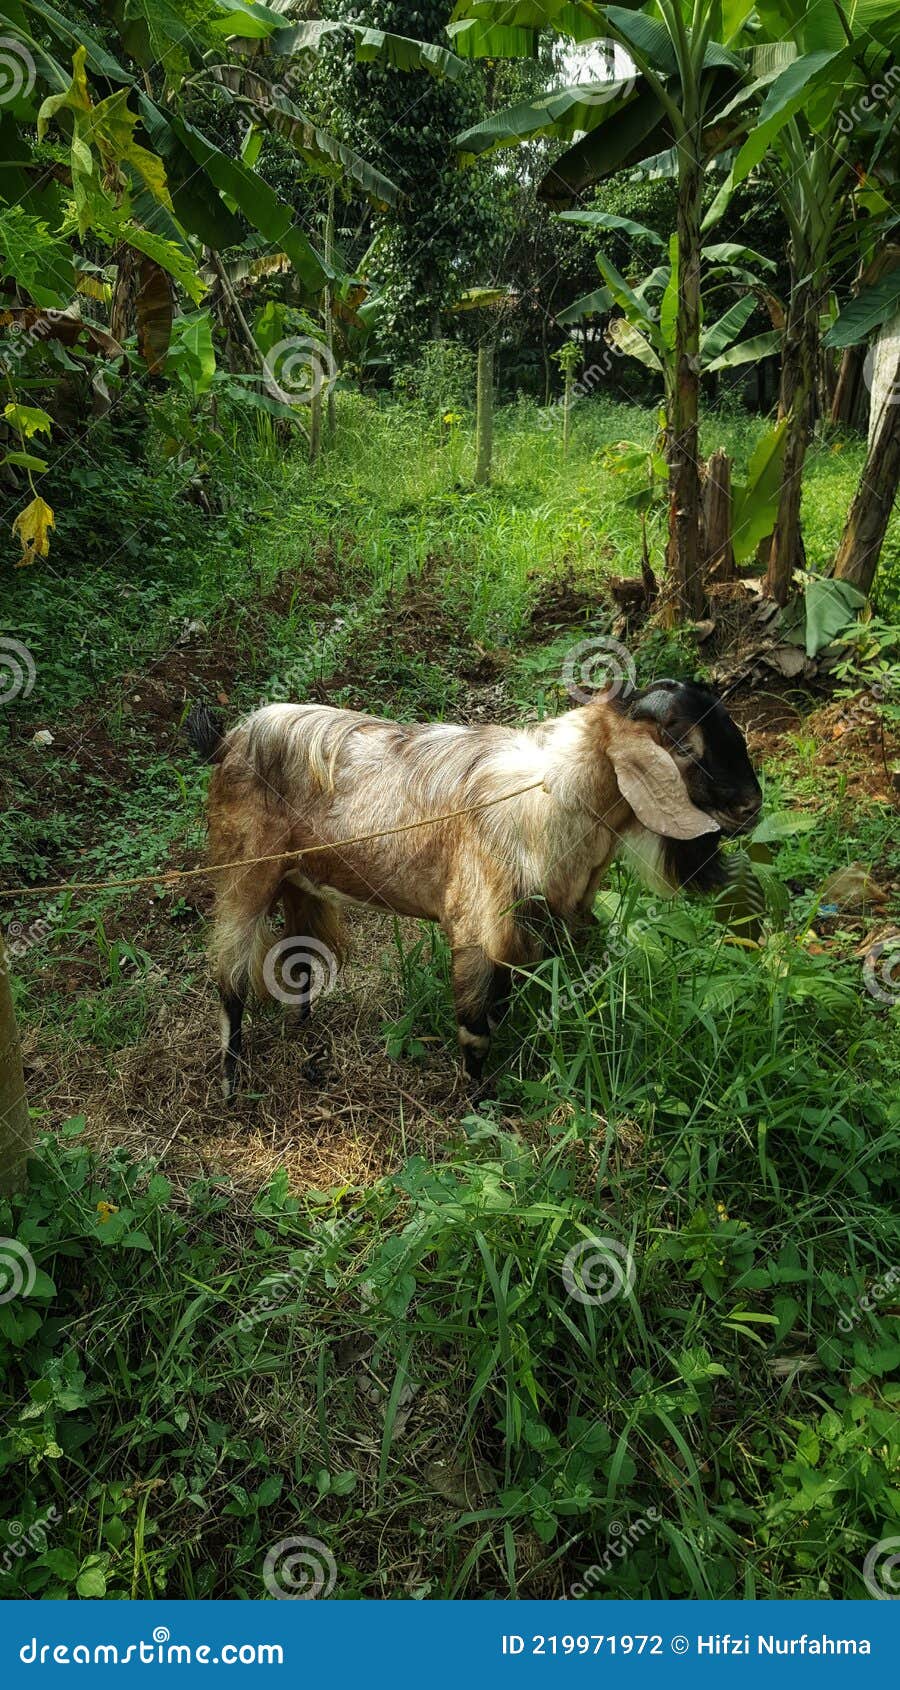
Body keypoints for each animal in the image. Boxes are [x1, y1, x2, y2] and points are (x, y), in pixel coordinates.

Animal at [188, 679, 761, 1100]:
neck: (552, 796)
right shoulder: (479, 927)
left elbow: (500, 1007)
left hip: (298, 881)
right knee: (230, 977)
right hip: (245, 874)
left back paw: (304, 1031)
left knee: (297, 957)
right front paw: (477, 1100)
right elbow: (475, 1027)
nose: (751, 806)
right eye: (683, 744)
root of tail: (231, 738)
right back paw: (231, 1080)